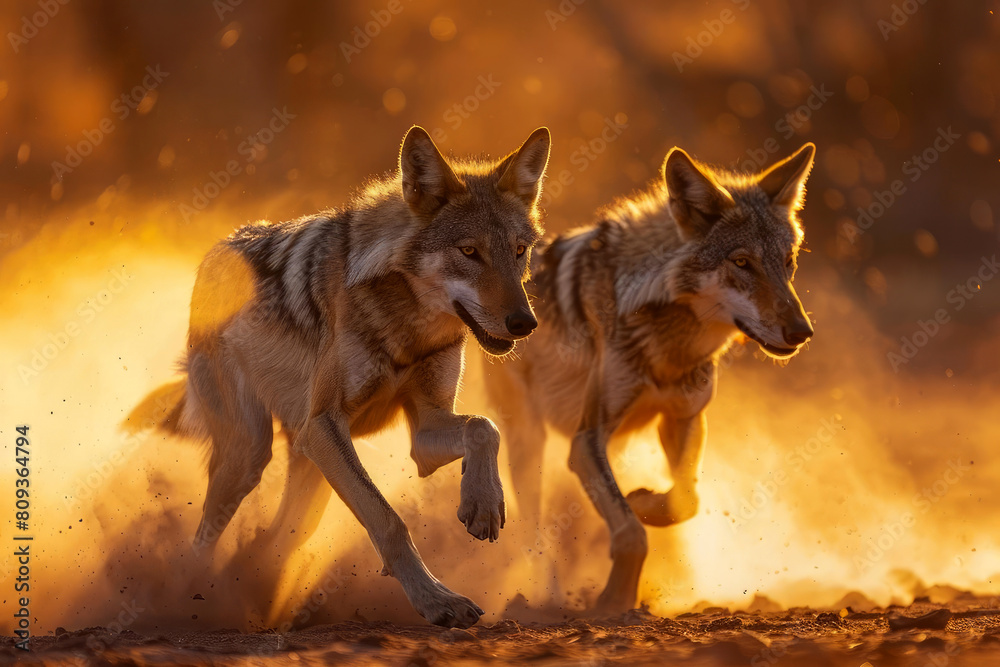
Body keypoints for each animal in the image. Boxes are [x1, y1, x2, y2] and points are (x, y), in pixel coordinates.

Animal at [127, 125, 551, 628]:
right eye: (469, 252)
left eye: (519, 252)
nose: (524, 323)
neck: (407, 327)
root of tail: (216, 251)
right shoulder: (325, 426)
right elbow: (388, 520)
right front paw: (437, 600)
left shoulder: (423, 433)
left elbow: (484, 428)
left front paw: (483, 503)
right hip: (252, 454)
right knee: (205, 541)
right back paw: (197, 599)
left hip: (310, 470)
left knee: (279, 538)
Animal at [486, 143, 815, 612]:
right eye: (742, 262)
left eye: (787, 263)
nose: (801, 332)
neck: (671, 346)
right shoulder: (585, 441)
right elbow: (631, 534)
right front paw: (615, 600)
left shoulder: (683, 418)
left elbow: (686, 498)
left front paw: (643, 501)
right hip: (527, 443)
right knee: (534, 533)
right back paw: (545, 596)